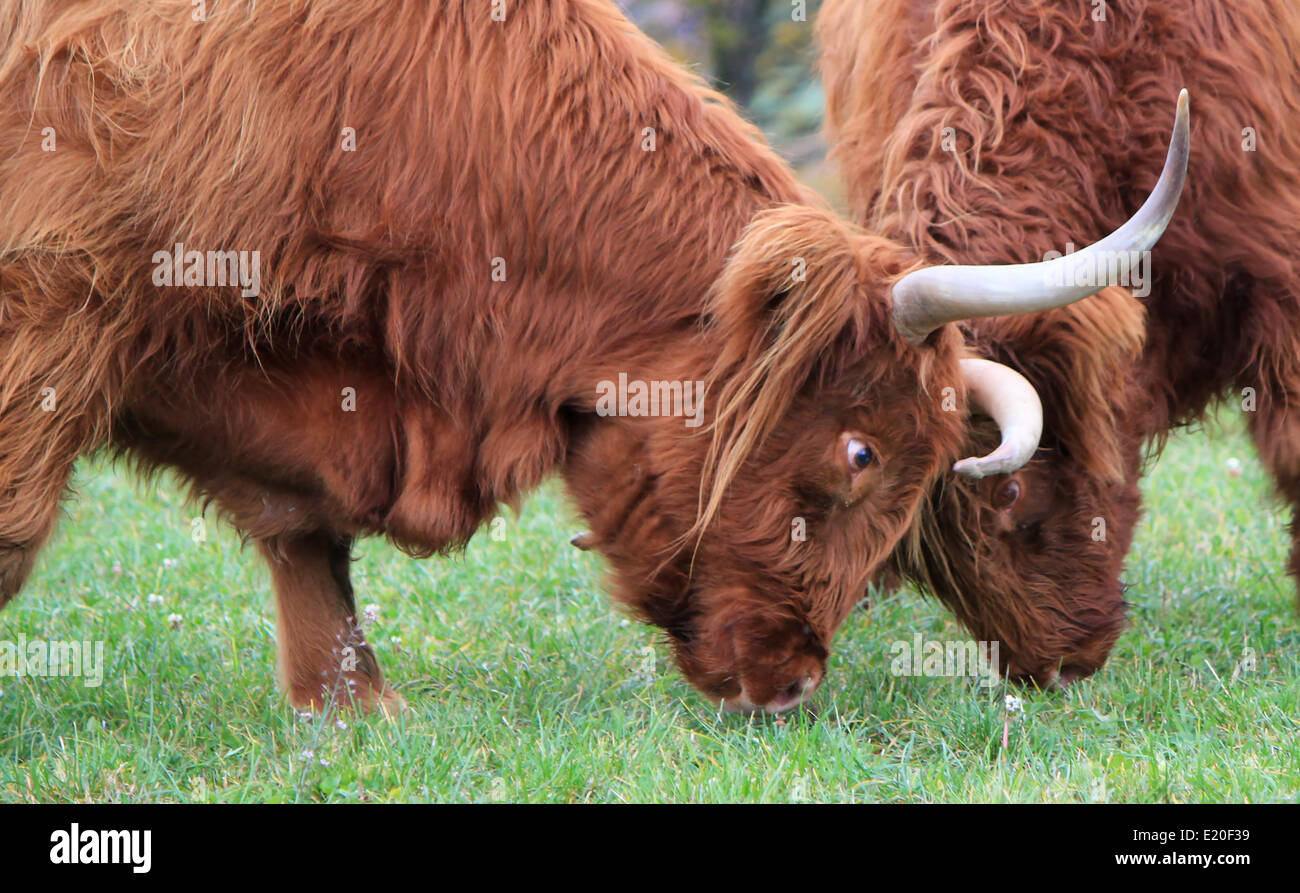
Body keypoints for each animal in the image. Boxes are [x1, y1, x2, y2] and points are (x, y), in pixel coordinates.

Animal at [0, 0, 1182, 714]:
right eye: (858, 454)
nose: (793, 685)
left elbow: (308, 536)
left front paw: (351, 706)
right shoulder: (53, 302)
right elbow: (17, 528)